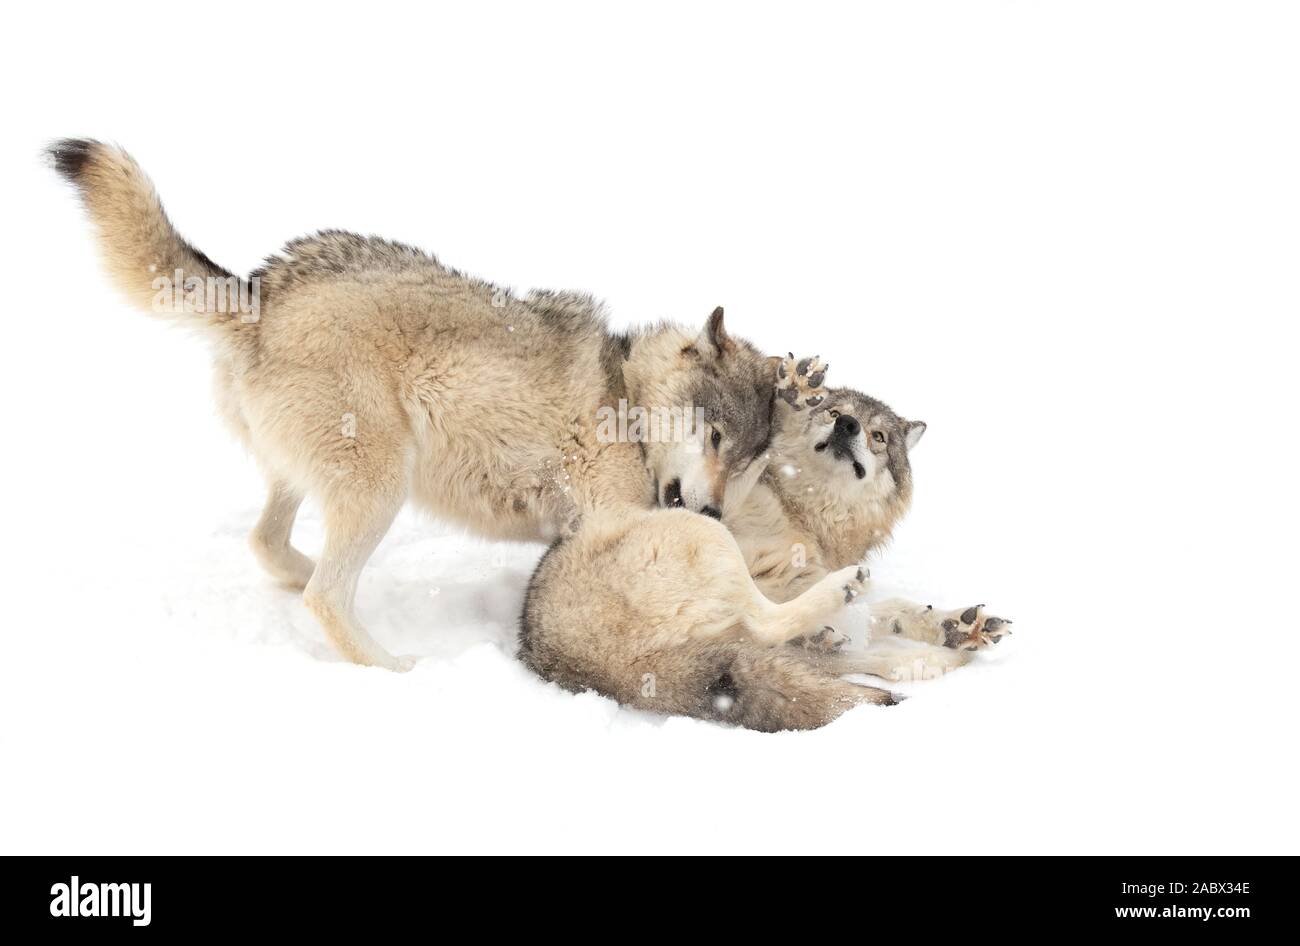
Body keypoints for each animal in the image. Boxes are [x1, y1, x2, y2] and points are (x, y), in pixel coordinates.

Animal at [48, 138, 779, 672]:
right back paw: (395, 667)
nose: (712, 512)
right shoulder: (616, 517)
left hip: (317, 477)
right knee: (324, 597)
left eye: (747, 461)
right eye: (716, 436)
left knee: (271, 548)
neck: (624, 398)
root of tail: (261, 293)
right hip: (380, 483)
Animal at [519, 357, 1011, 730]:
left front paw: (953, 624)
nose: (848, 426)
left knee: (822, 652)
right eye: (834, 414)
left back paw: (933, 649)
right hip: (706, 534)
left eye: (879, 436)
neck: (808, 512)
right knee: (769, 624)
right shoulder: (712, 508)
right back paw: (846, 596)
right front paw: (790, 397)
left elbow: (893, 611)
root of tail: (580, 664)